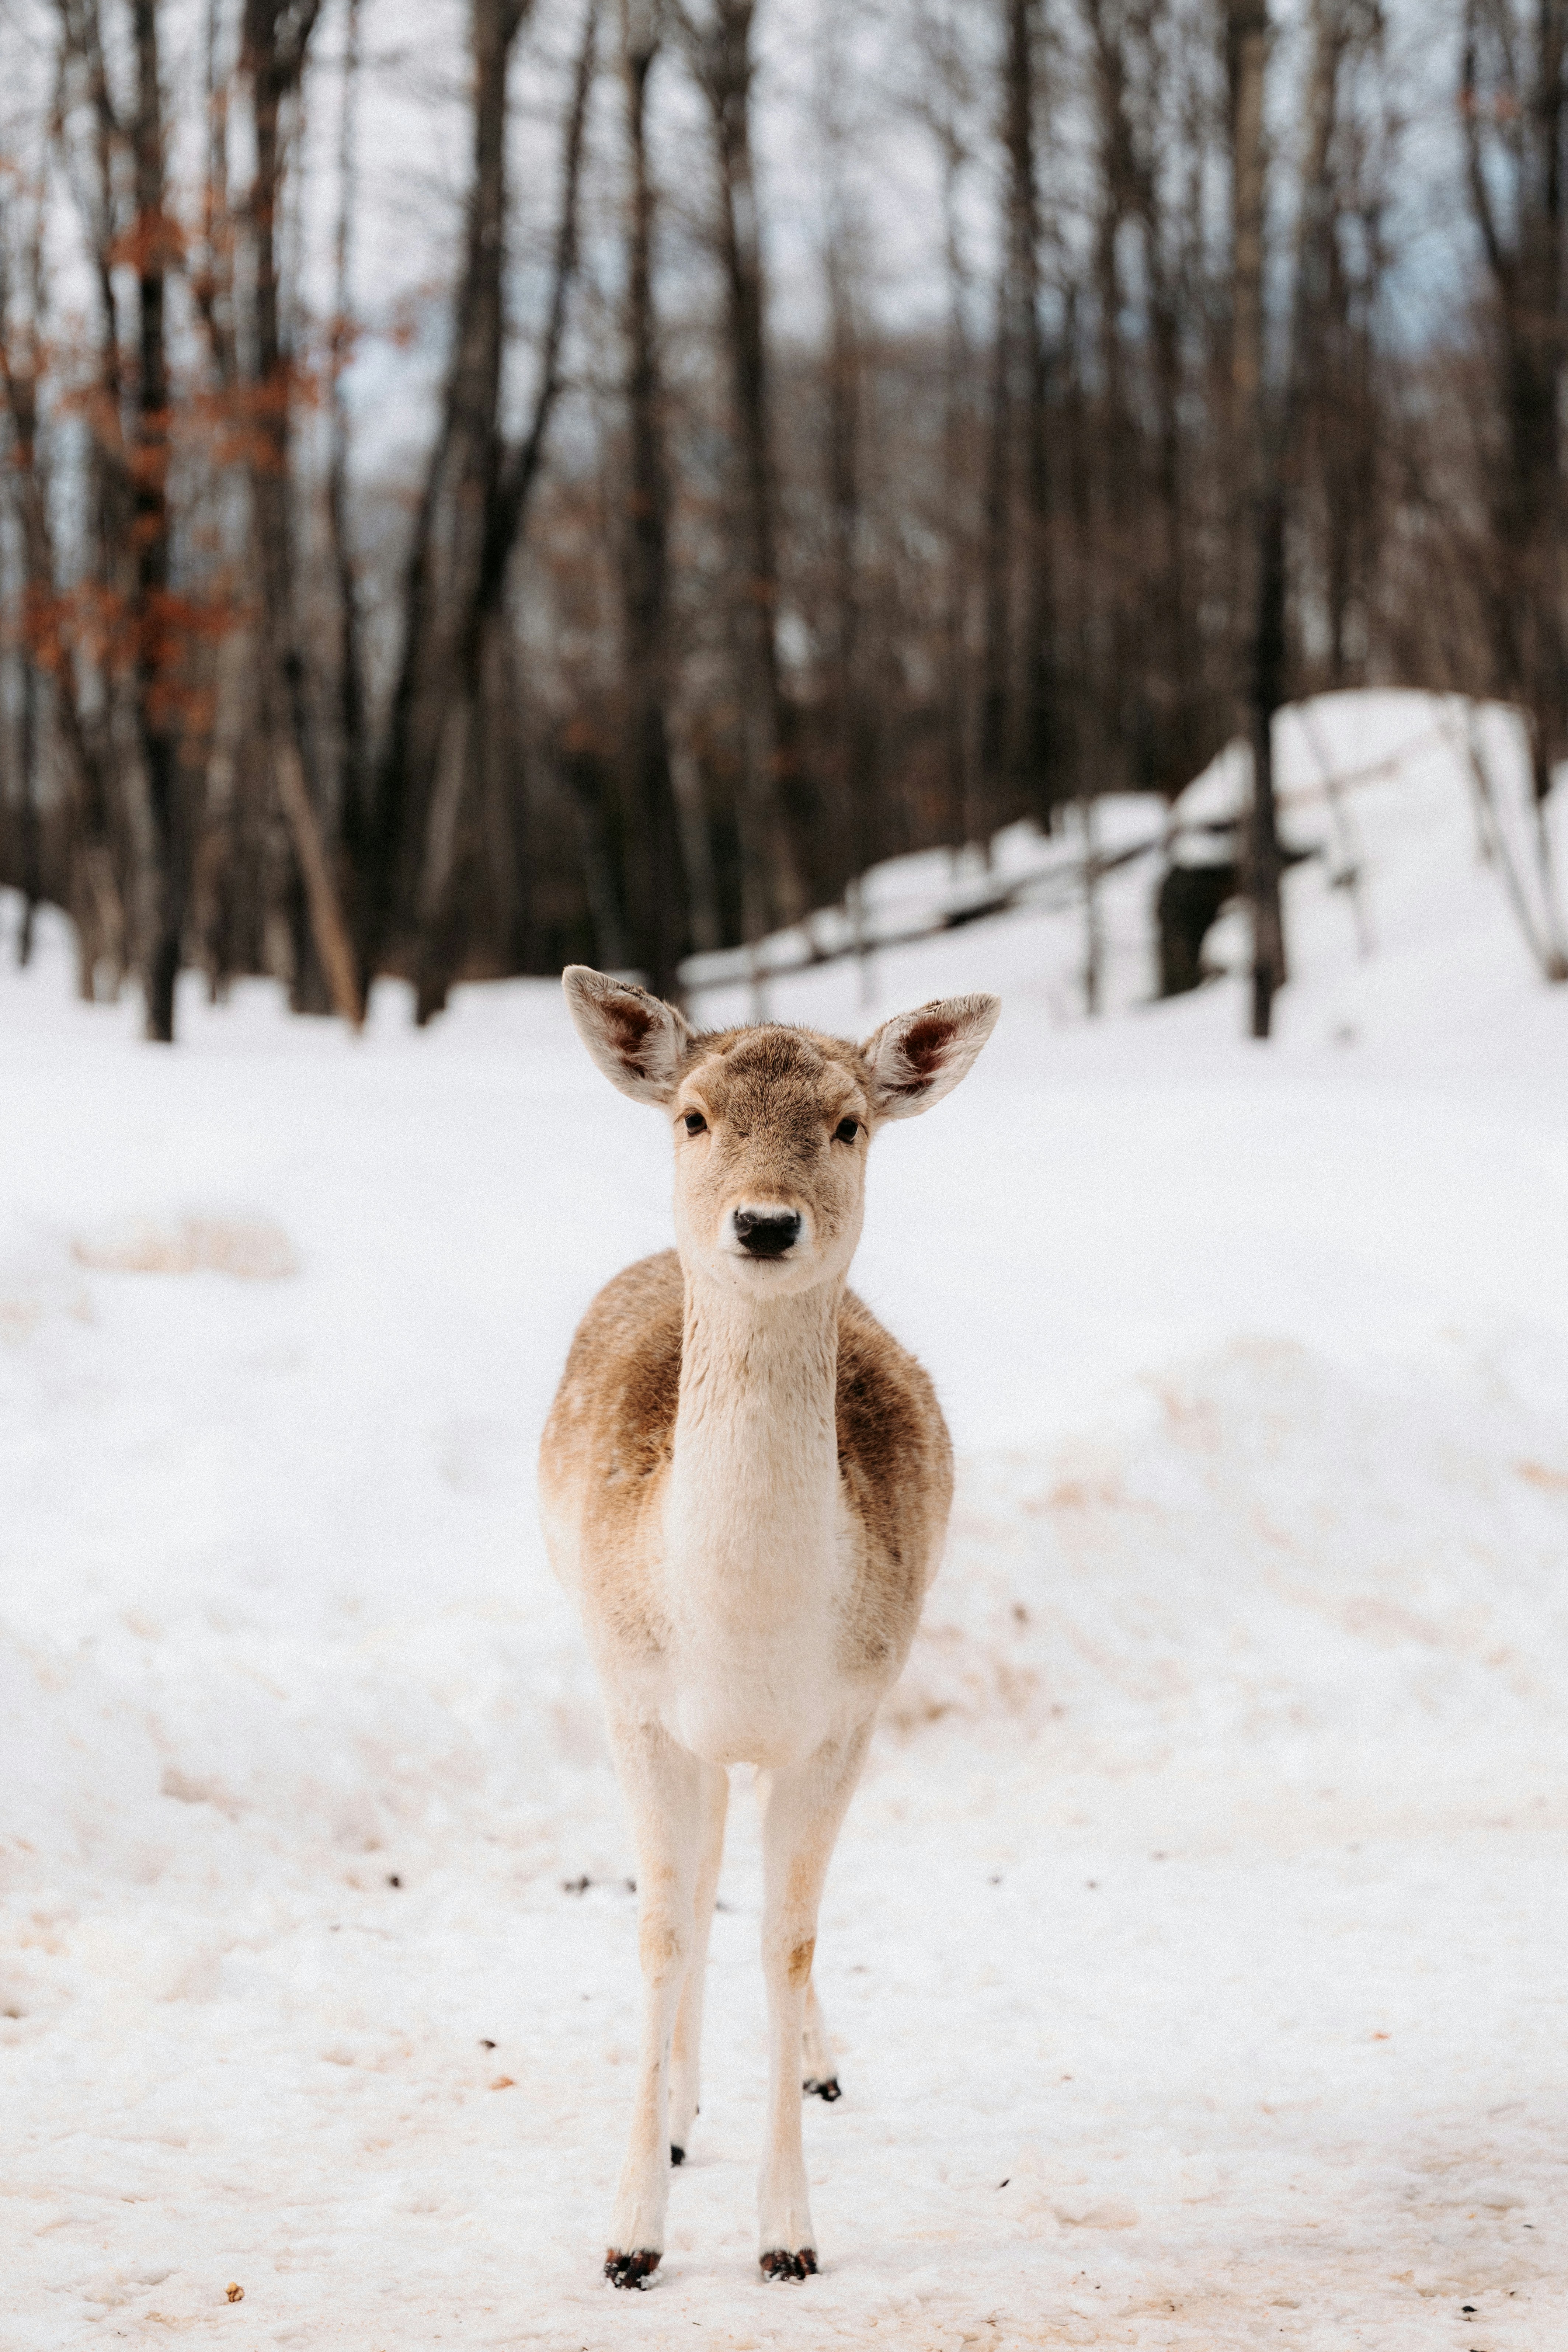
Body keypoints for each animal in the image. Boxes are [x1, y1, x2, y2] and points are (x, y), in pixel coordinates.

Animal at [538, 966, 1000, 2289]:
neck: (741, 1632)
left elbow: (785, 1936)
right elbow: (660, 1928)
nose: (762, 1223)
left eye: (847, 1123)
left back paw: (815, 2062)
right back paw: (684, 2113)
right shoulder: (637, 1702)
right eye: (693, 1115)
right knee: (695, 1894)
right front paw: (630, 2234)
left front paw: (788, 2235)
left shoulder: (847, 1714)